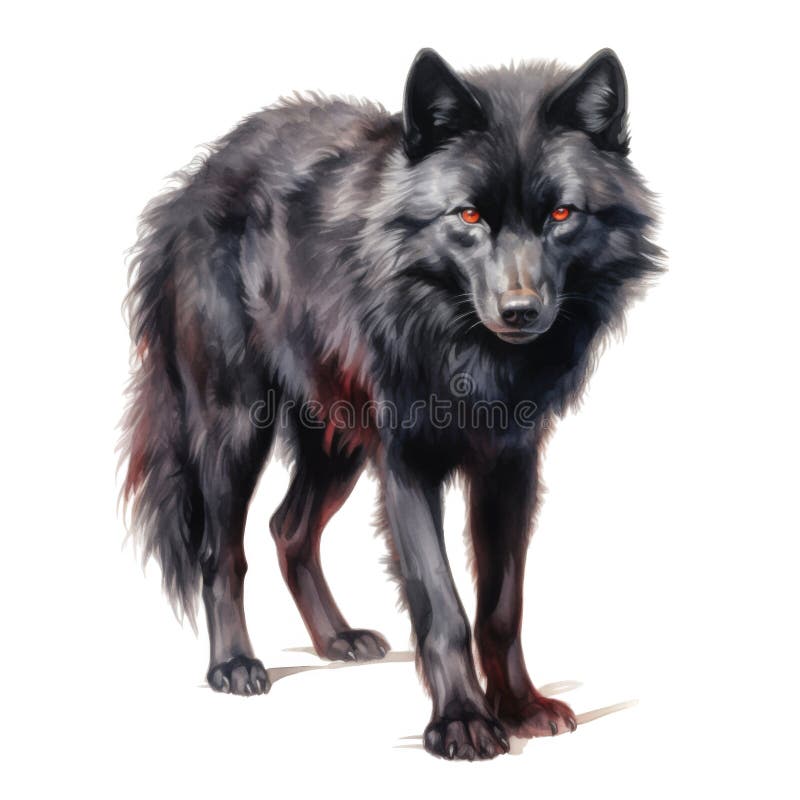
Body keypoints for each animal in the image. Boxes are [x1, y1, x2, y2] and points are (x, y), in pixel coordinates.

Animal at [121, 47, 662, 760]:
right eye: (468, 216)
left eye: (562, 215)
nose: (521, 310)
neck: (467, 352)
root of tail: (196, 183)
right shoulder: (407, 463)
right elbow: (442, 605)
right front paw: (461, 722)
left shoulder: (509, 466)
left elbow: (501, 607)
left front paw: (519, 709)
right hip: (236, 427)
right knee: (222, 552)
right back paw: (234, 665)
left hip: (338, 441)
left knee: (288, 529)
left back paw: (336, 639)